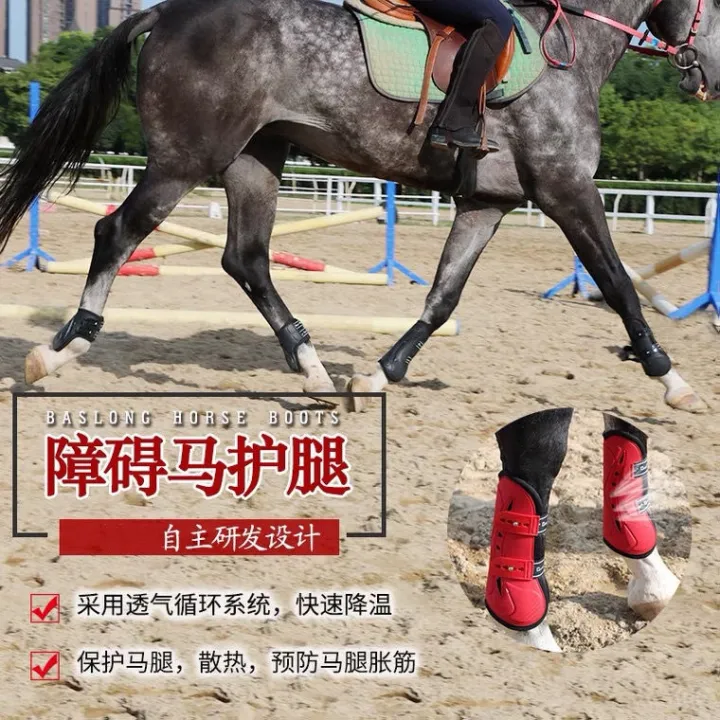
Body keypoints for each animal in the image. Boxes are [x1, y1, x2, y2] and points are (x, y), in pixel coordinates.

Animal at [0, 0, 717, 412]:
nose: (705, 77)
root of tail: (167, 13)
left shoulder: (487, 203)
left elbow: (443, 296)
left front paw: (379, 374)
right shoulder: (567, 189)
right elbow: (617, 283)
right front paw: (669, 376)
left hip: (255, 159)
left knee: (247, 260)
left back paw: (312, 366)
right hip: (186, 159)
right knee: (118, 232)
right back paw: (59, 351)